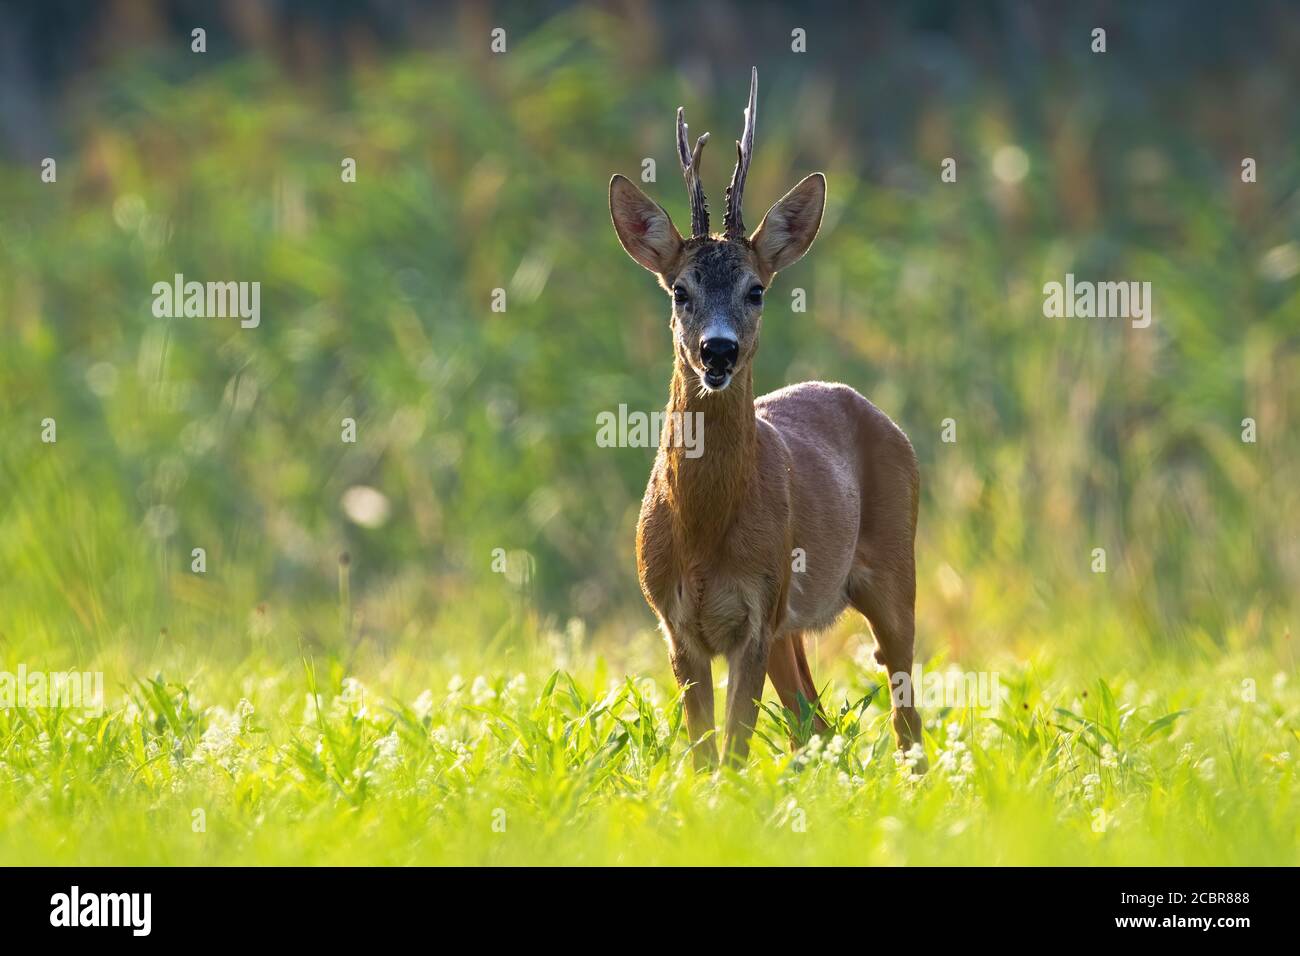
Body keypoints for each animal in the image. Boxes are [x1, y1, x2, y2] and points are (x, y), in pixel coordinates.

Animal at [608, 68, 925, 772]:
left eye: (756, 289)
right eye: (680, 290)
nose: (717, 350)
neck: (703, 534)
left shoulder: (755, 615)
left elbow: (732, 752)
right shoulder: (677, 624)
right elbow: (705, 755)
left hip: (894, 570)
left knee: (906, 719)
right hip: (791, 625)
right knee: (816, 723)